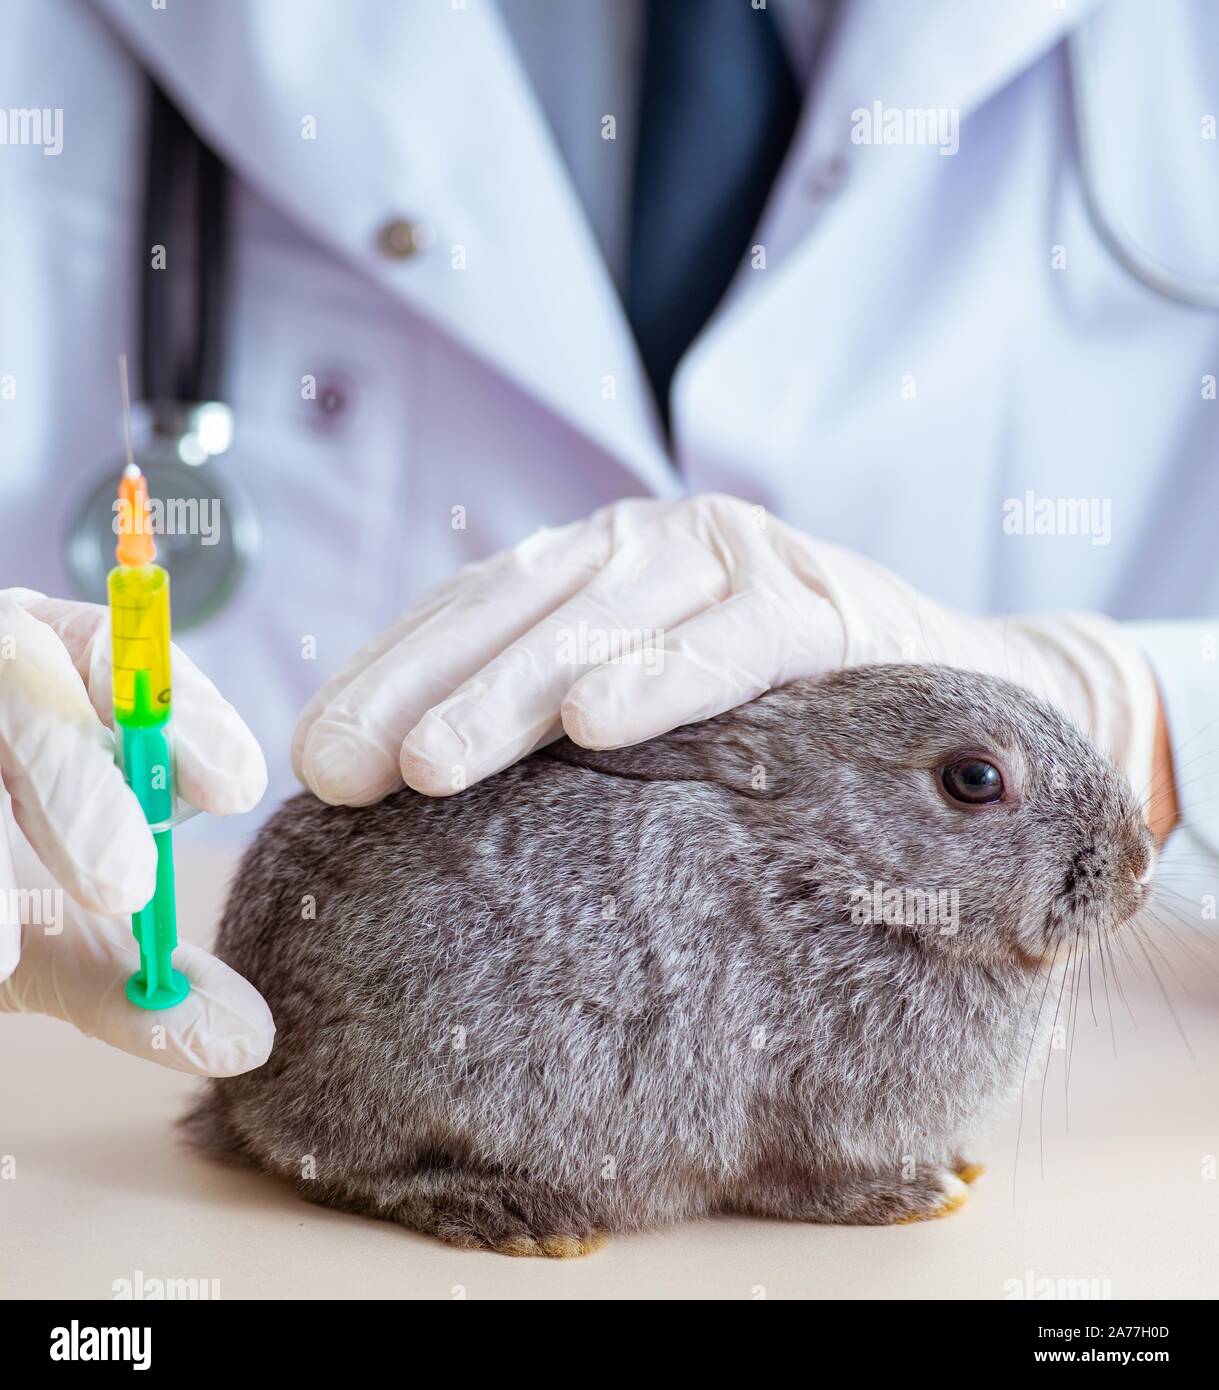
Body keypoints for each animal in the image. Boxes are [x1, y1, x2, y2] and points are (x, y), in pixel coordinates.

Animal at [183, 663, 1156, 1256]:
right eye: (974, 779)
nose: (1138, 867)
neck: (838, 874)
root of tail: (243, 1086)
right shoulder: (795, 1111)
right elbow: (802, 1180)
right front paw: (911, 1197)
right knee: (341, 1170)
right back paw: (516, 1216)